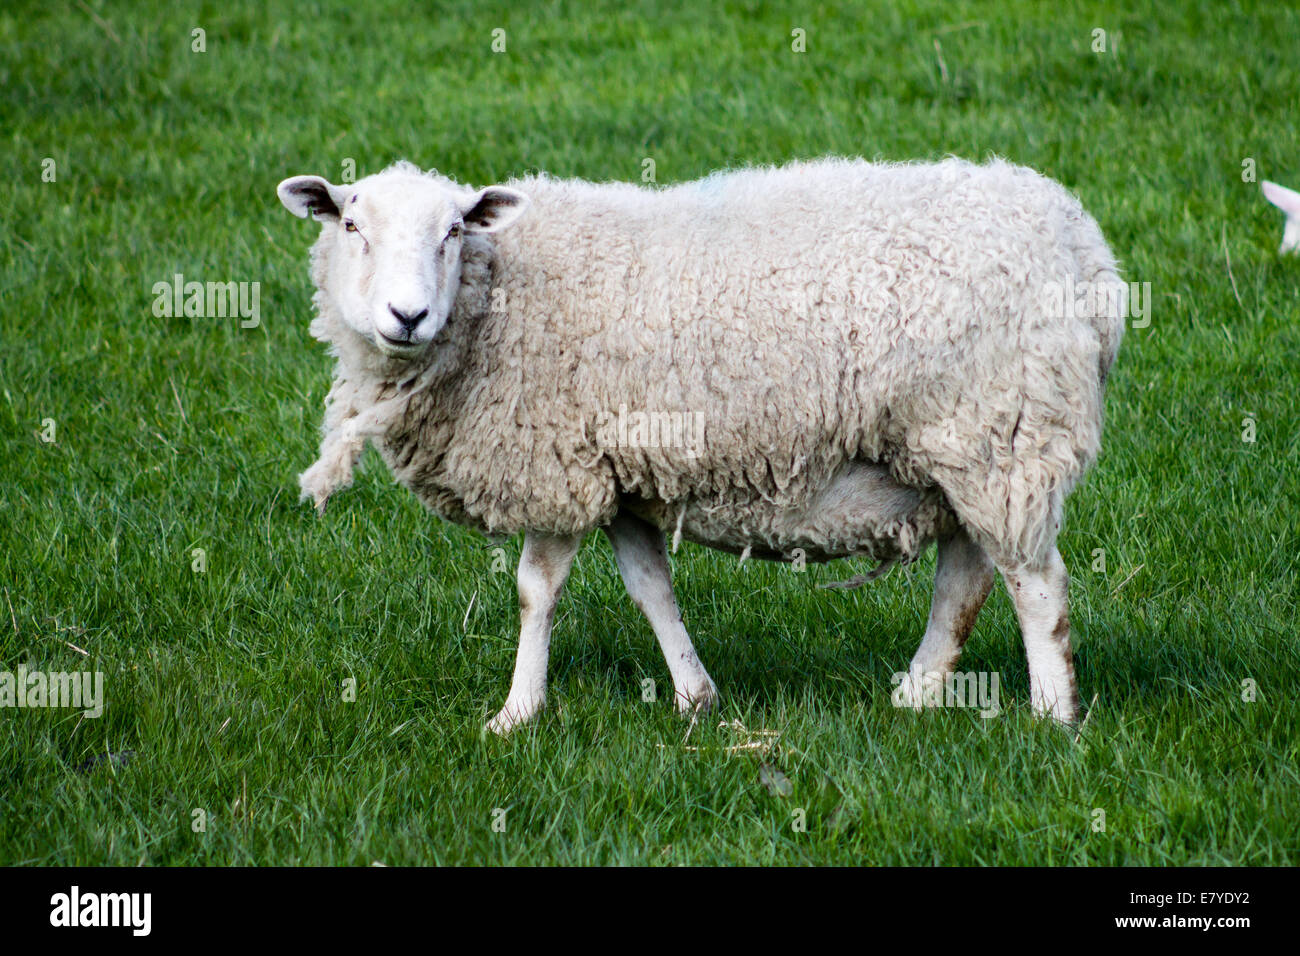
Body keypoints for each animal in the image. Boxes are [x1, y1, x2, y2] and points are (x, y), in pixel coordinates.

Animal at [276, 157, 1125, 734]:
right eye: (351, 226)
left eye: (452, 232)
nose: (407, 316)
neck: (500, 297)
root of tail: (1087, 250)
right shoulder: (619, 479)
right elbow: (651, 588)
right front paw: (694, 696)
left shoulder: (557, 467)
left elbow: (533, 592)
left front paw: (516, 715)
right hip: (971, 452)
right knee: (967, 577)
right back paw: (918, 693)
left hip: (1001, 436)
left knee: (1036, 586)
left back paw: (1052, 715)